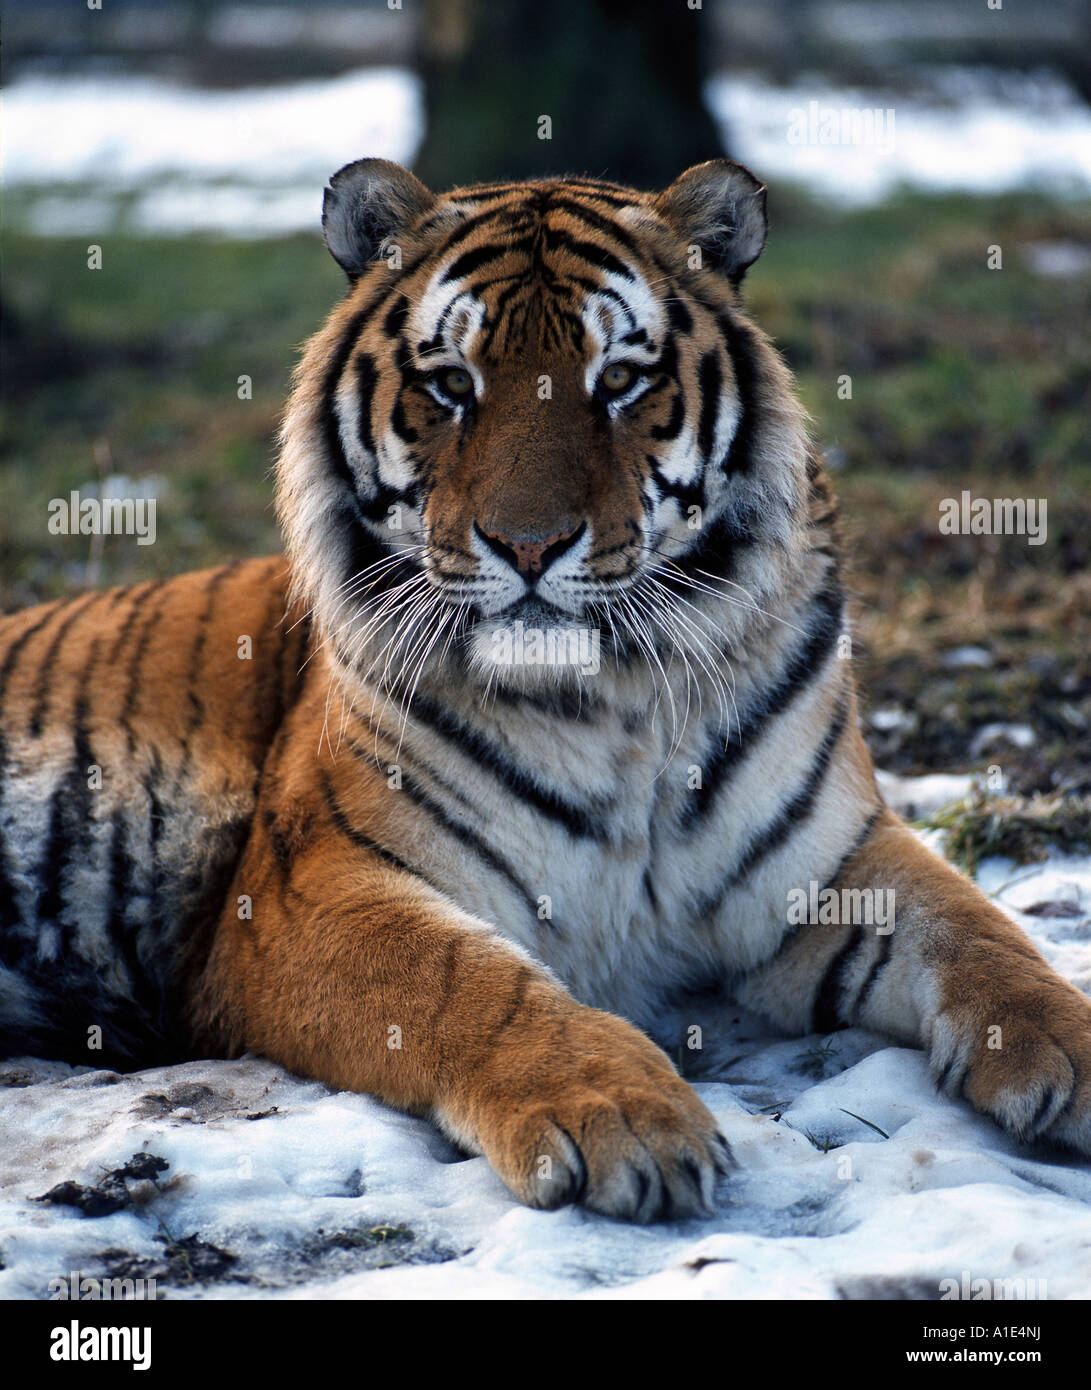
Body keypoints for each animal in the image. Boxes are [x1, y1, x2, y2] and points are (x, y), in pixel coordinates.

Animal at [2, 157, 1089, 1224]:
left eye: (619, 381)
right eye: (451, 385)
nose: (528, 545)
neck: (617, 703)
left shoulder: (827, 862)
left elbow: (978, 933)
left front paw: (1073, 1051)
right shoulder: (302, 893)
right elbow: (464, 983)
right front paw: (627, 1119)